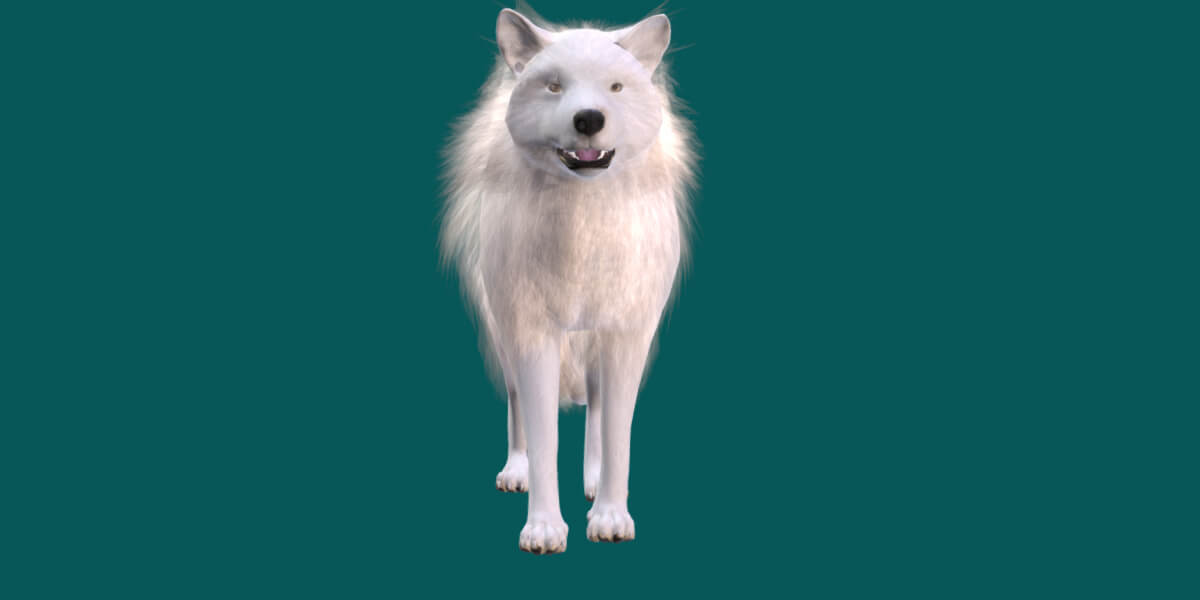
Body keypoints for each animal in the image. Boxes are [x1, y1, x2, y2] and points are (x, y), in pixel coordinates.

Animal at [439, 7, 696, 554]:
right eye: (554, 86)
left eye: (616, 87)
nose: (589, 119)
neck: (582, 229)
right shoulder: (533, 334)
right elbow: (543, 435)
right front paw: (543, 529)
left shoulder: (625, 334)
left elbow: (617, 433)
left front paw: (611, 519)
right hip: (504, 336)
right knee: (517, 406)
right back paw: (516, 472)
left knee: (598, 414)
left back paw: (594, 484)